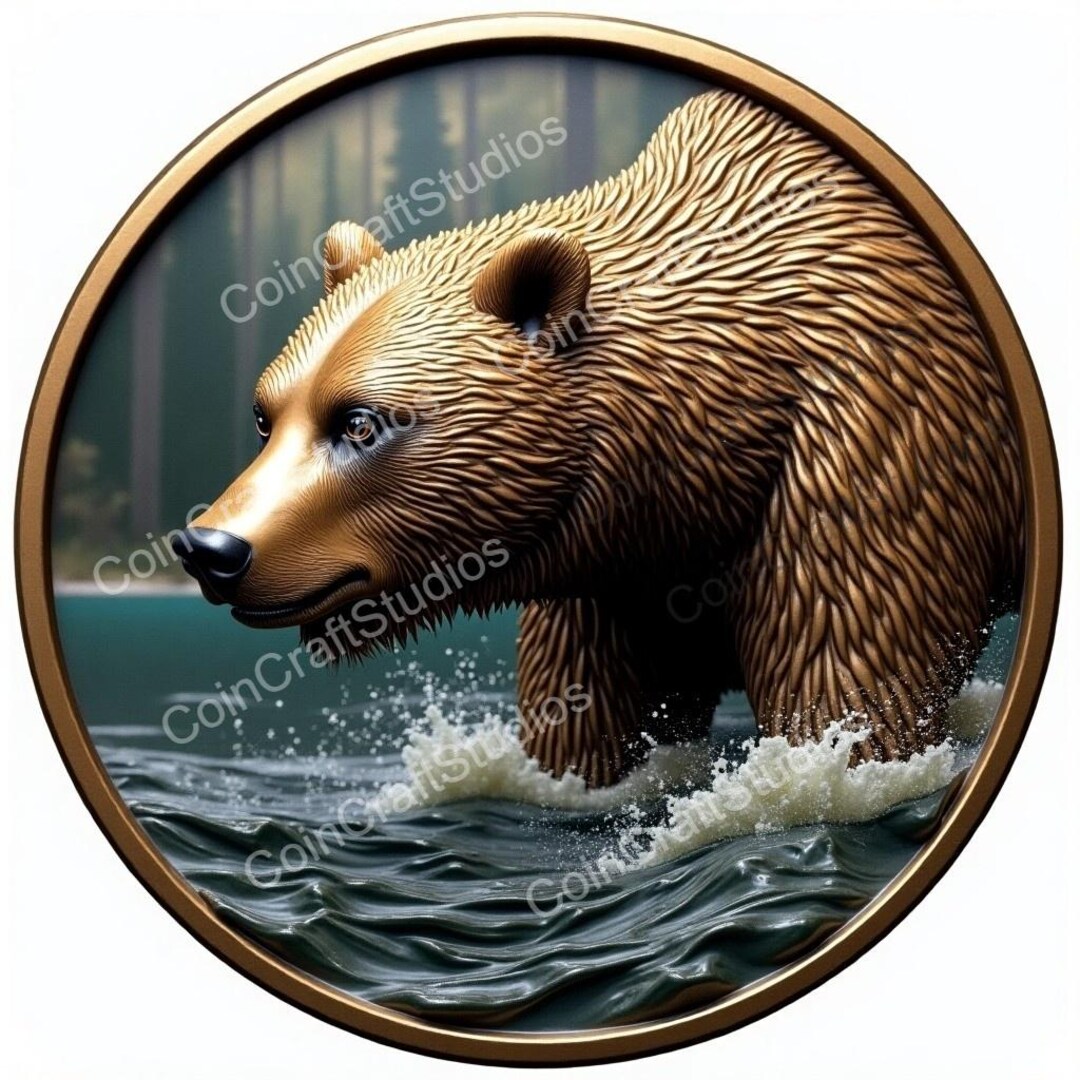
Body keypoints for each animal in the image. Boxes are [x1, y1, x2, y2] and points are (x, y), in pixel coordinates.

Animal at [175, 89, 1023, 788]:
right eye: (266, 414)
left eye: (358, 421)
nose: (211, 546)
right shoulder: (620, 568)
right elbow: (589, 715)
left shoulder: (871, 454)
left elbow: (849, 694)